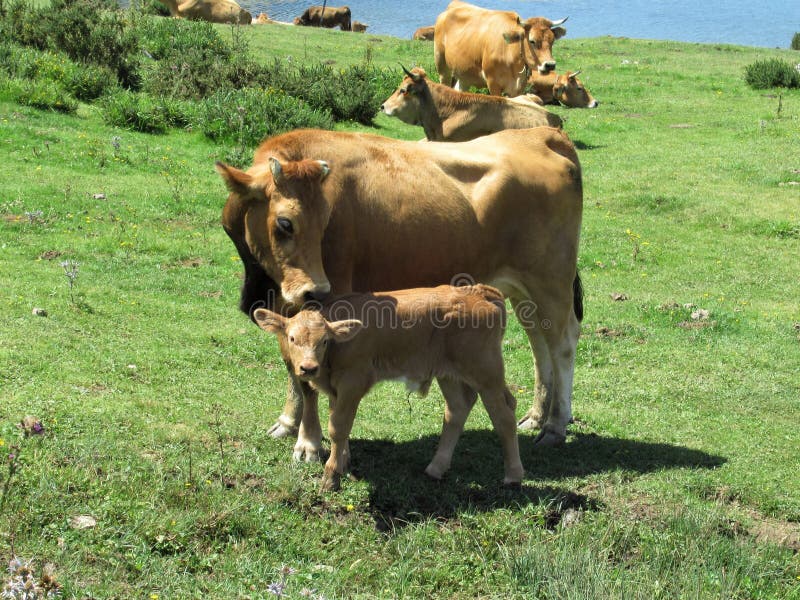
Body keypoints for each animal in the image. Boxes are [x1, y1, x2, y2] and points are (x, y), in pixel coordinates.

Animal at [217, 127, 583, 461]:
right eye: (285, 223)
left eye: (325, 222)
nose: (316, 290)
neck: (265, 284)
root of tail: (542, 133)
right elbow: (294, 367)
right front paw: (288, 423)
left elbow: (308, 381)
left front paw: (308, 443)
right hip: (520, 288)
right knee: (539, 344)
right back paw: (536, 416)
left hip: (551, 281)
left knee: (562, 344)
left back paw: (555, 424)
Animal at [253, 284, 525, 491]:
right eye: (292, 338)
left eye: (324, 341)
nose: (308, 368)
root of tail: (479, 291)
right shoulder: (336, 391)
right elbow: (339, 424)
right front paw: (342, 463)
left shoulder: (353, 382)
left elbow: (338, 427)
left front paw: (331, 476)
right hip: (449, 374)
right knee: (457, 410)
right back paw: (435, 468)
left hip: (486, 372)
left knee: (504, 416)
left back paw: (513, 475)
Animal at [434, 1, 567, 96]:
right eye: (532, 41)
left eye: (552, 40)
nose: (550, 65)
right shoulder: (493, 83)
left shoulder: (518, 87)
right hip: (442, 65)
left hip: (464, 73)